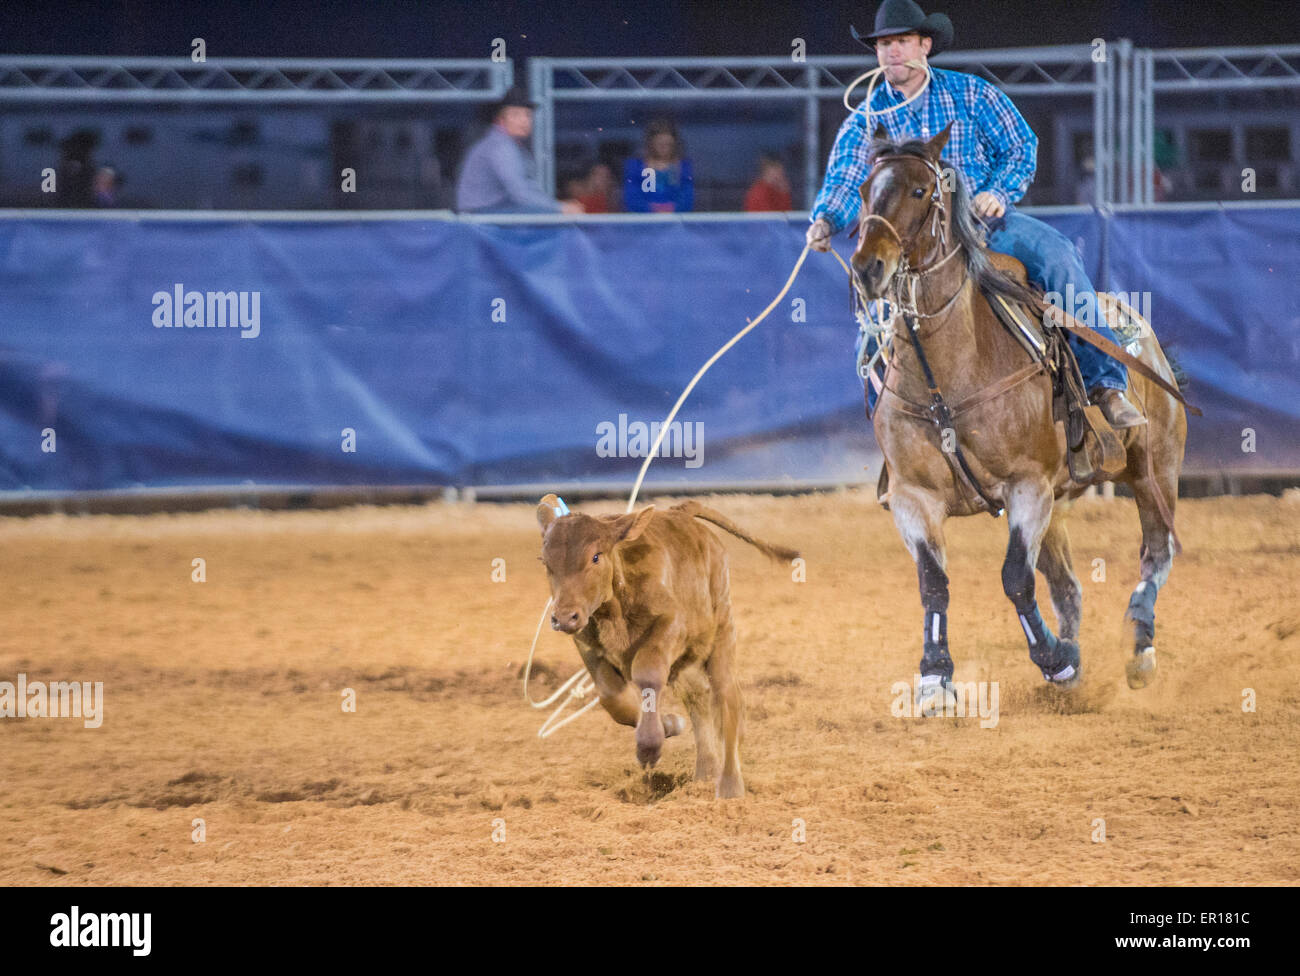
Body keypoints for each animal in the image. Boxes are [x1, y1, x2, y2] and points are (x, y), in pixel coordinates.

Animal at [535, 493, 799, 799]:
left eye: (596, 556)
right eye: (546, 562)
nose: (565, 617)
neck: (614, 608)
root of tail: (684, 513)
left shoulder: (670, 625)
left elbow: (647, 675)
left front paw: (649, 745)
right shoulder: (587, 644)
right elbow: (611, 696)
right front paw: (669, 724)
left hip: (722, 629)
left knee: (728, 697)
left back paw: (730, 785)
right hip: (686, 664)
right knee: (698, 698)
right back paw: (705, 771)